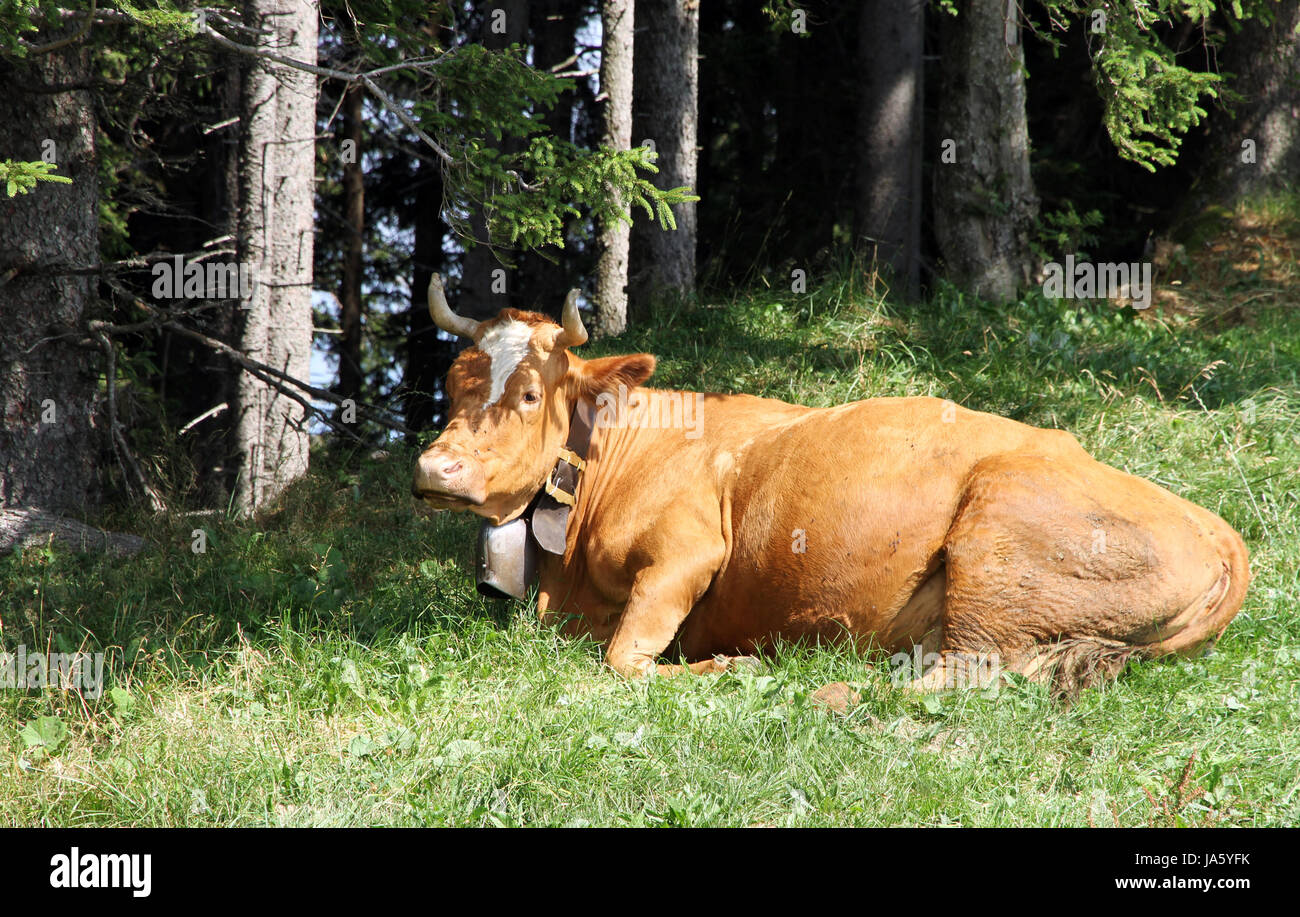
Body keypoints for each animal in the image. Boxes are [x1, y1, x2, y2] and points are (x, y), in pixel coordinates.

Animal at [412, 275, 1249, 696]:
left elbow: (624, 662)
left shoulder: (688, 551)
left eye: (529, 394)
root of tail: (1216, 528)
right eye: (451, 384)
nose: (434, 468)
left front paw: (729, 666)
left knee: (954, 677)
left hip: (998, 554)